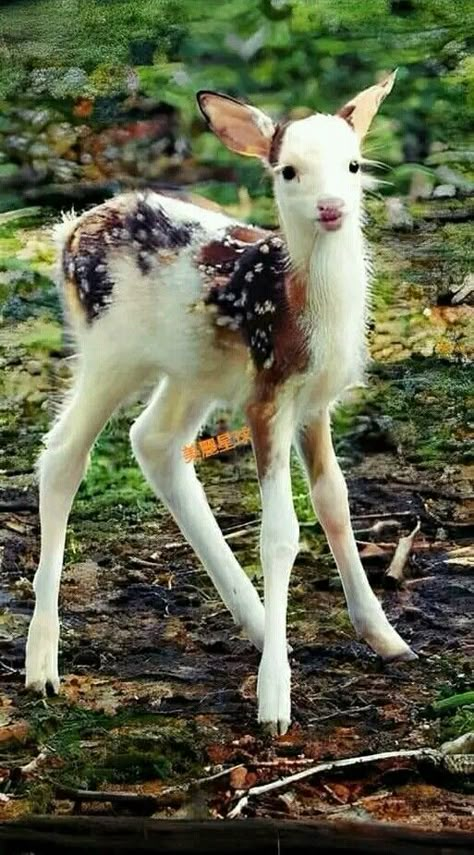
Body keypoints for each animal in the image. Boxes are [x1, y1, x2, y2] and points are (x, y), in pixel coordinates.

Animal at [25, 70, 414, 732]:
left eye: (354, 164)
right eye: (288, 170)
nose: (331, 209)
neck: (301, 305)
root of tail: (69, 229)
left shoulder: (316, 401)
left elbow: (335, 503)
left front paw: (386, 638)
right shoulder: (268, 393)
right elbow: (280, 534)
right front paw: (274, 703)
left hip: (192, 371)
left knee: (153, 441)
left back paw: (255, 621)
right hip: (109, 352)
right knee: (62, 457)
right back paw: (42, 664)